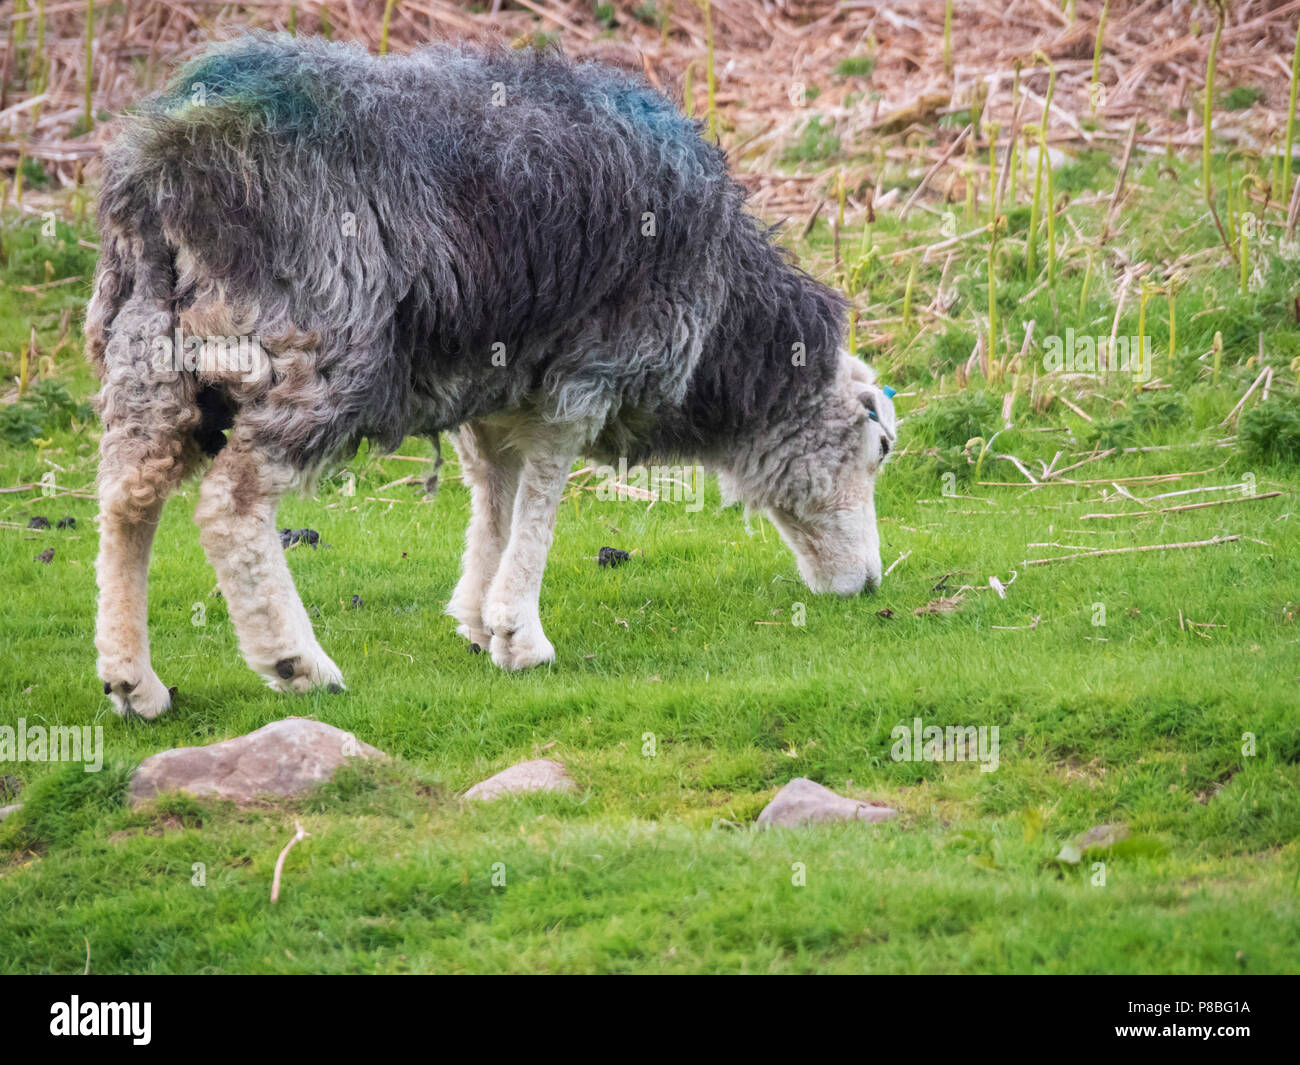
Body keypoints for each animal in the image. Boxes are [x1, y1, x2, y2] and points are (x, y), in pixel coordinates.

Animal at [87, 34, 897, 718]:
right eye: (880, 446)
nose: (869, 584)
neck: (725, 308)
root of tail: (165, 162)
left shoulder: (492, 385)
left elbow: (496, 494)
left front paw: (479, 619)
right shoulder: (593, 369)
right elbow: (543, 491)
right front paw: (520, 635)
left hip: (146, 352)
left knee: (129, 496)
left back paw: (134, 680)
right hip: (318, 350)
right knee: (231, 504)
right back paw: (296, 661)